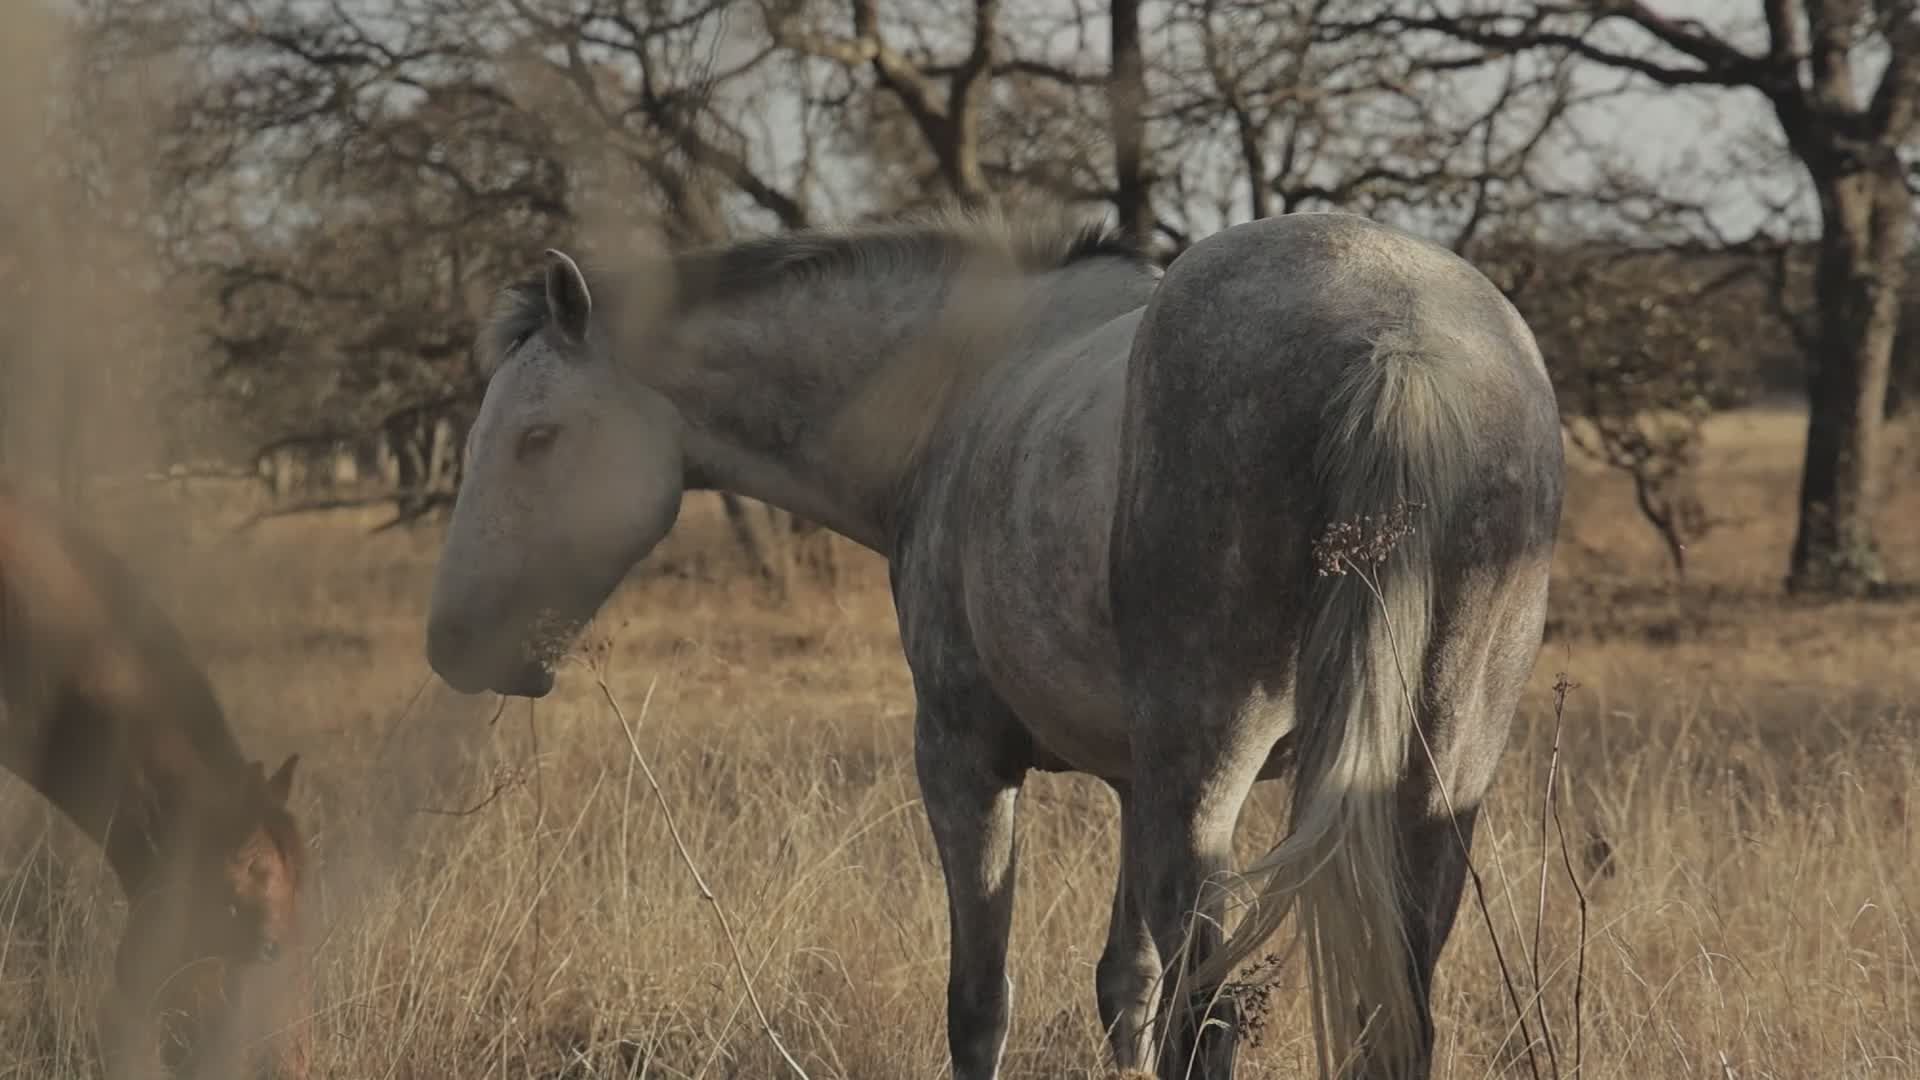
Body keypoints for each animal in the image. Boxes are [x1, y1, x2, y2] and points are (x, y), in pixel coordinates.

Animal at [423, 209, 1565, 1079]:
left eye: (535, 438)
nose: (451, 645)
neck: (962, 393)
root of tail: (1399, 341)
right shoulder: (1133, 789)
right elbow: (1124, 989)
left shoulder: (963, 759)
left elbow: (981, 1004)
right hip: (1430, 792)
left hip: (1212, 777)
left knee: (1208, 1021)